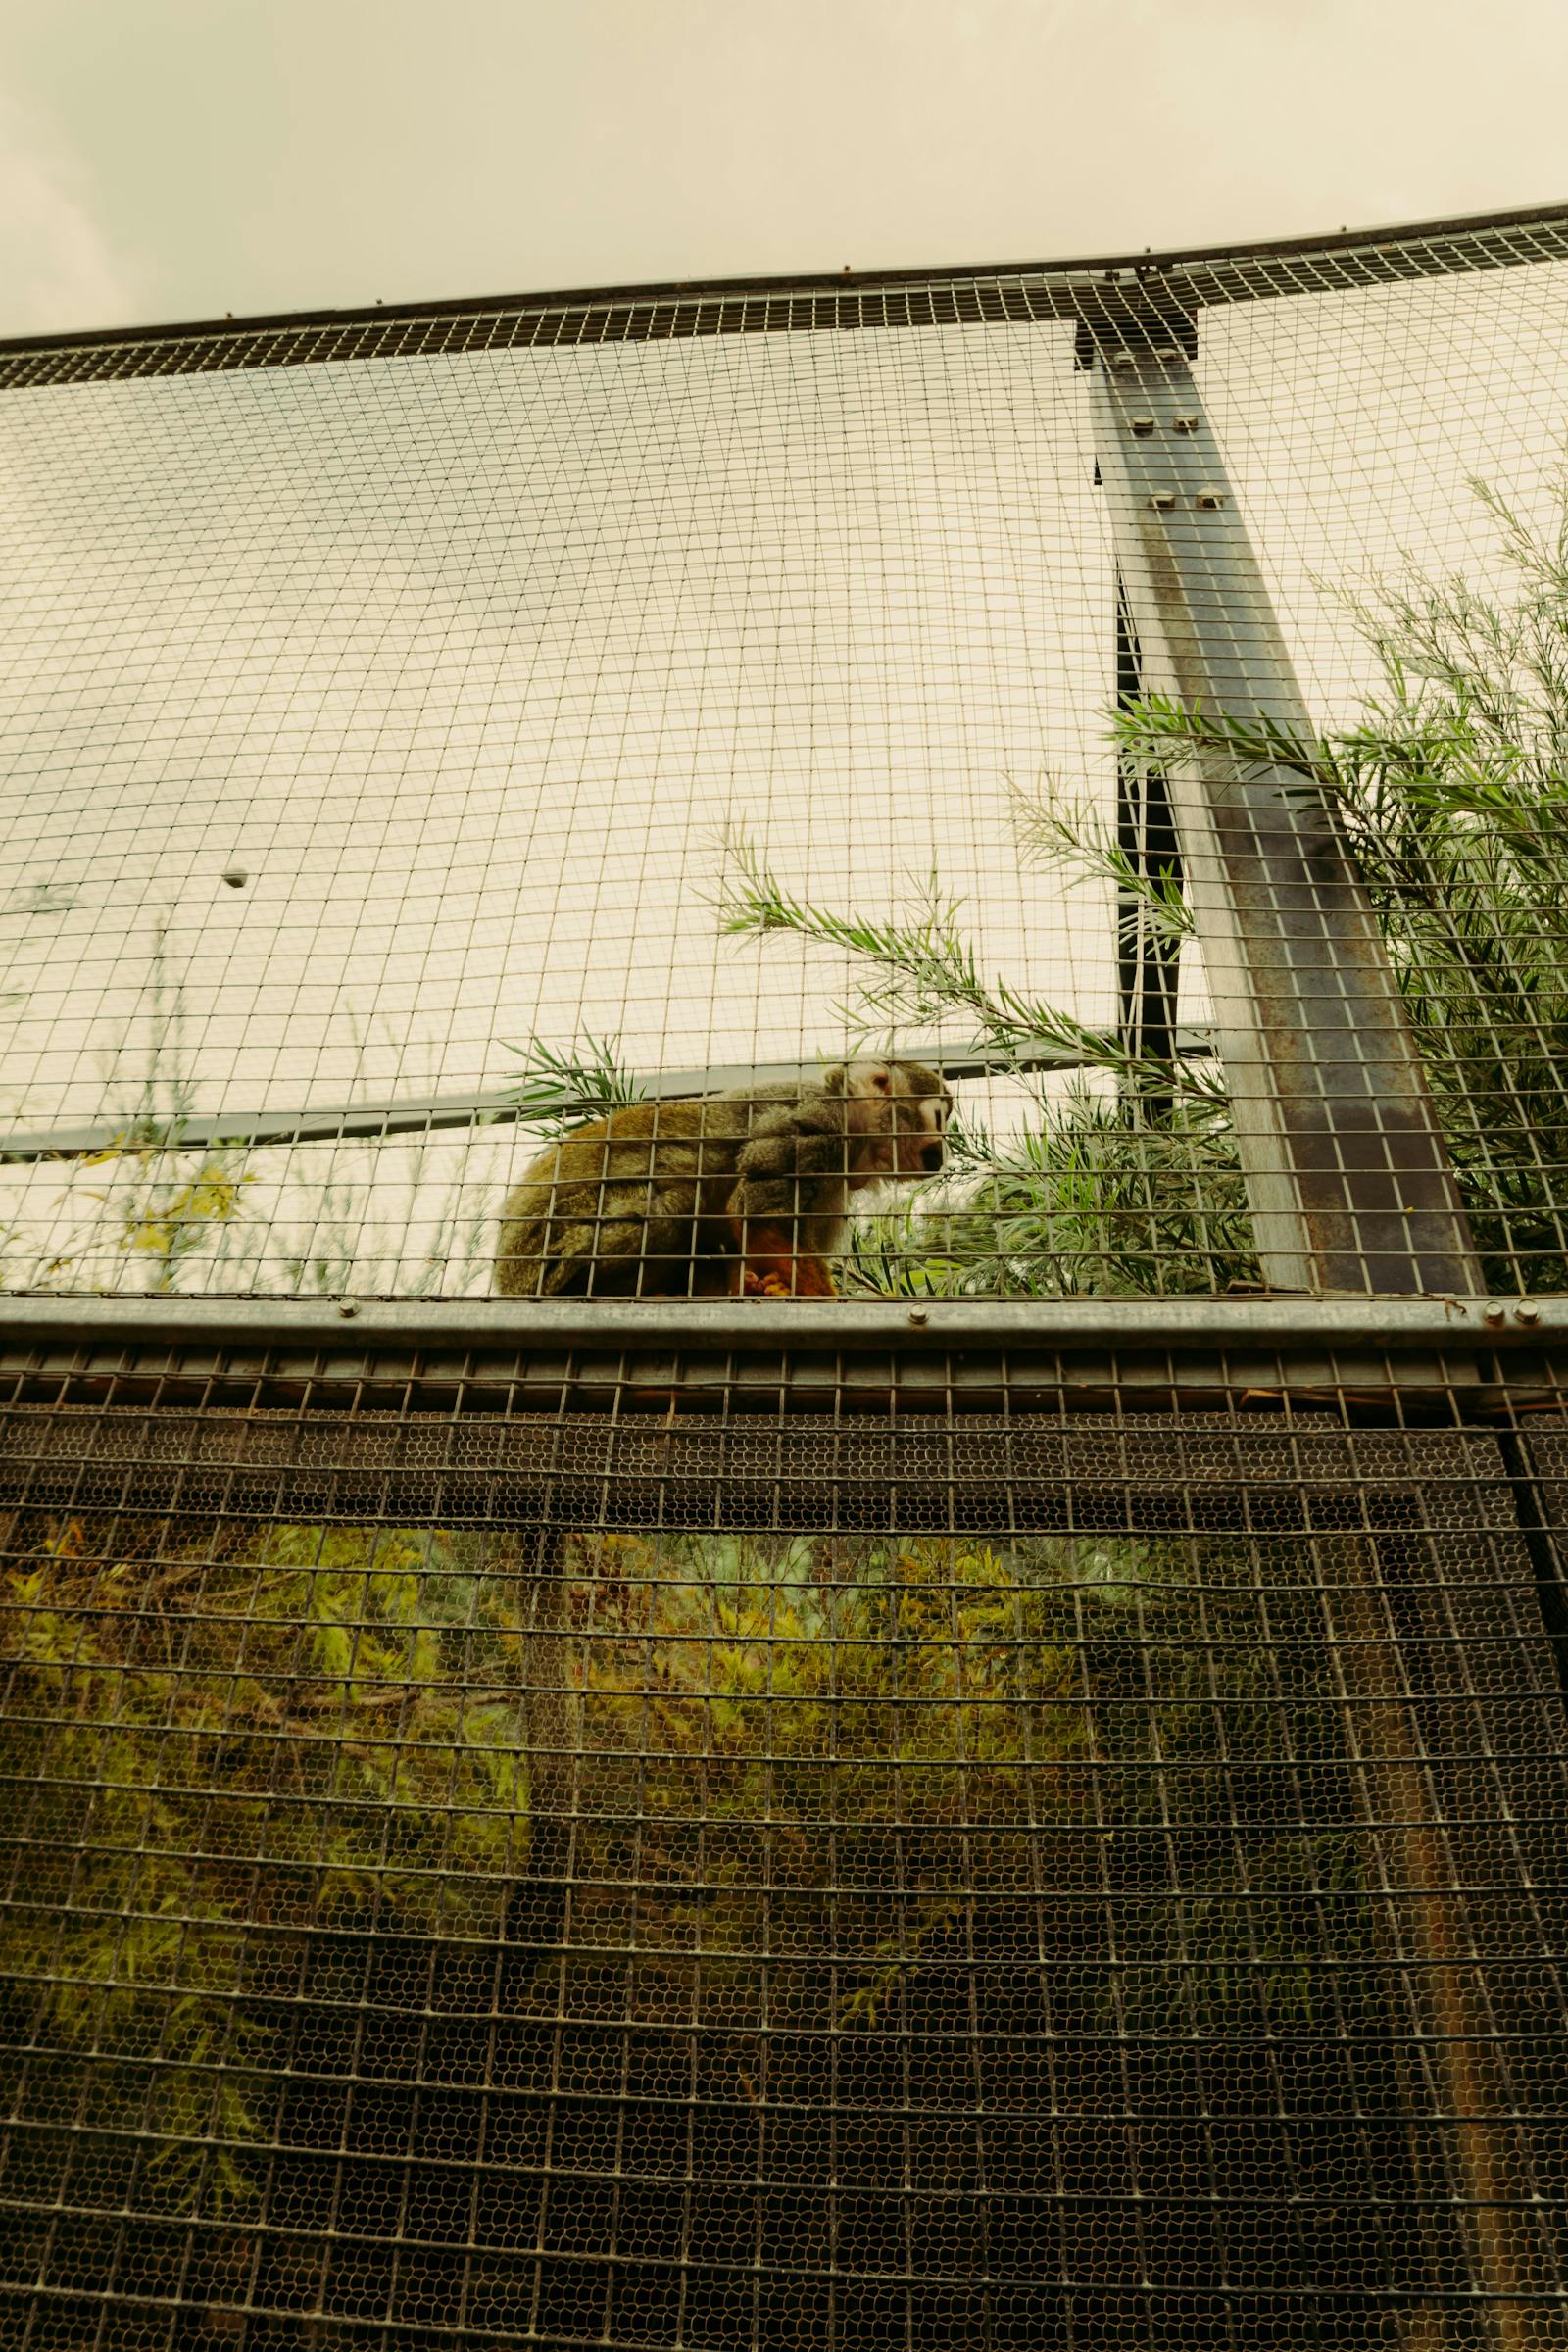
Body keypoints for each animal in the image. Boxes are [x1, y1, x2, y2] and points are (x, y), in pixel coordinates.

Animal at [494, 1060, 952, 1301]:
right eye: (938, 1119)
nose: (941, 1152)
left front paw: (761, 1284)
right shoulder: (818, 1122)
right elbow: (759, 1215)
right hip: (551, 1252)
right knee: (674, 1204)